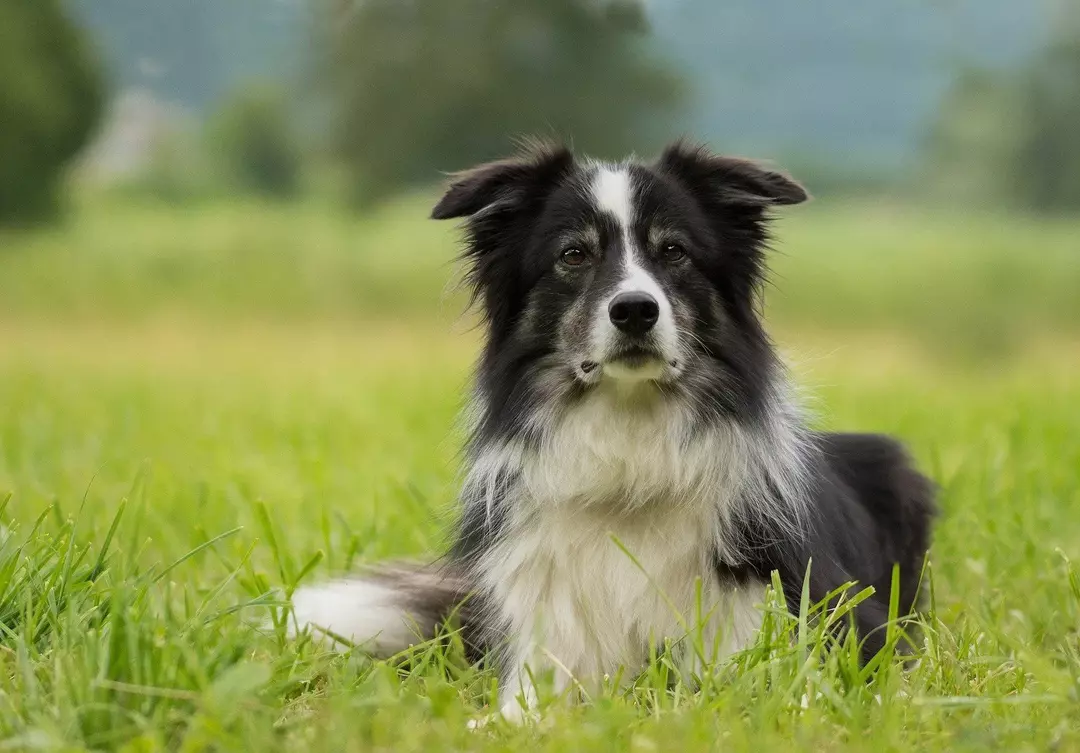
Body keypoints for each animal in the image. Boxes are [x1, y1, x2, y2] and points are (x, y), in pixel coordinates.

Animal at [289, 138, 937, 721]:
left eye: (674, 251)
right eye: (574, 255)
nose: (634, 310)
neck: (630, 457)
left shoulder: (797, 626)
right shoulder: (547, 645)